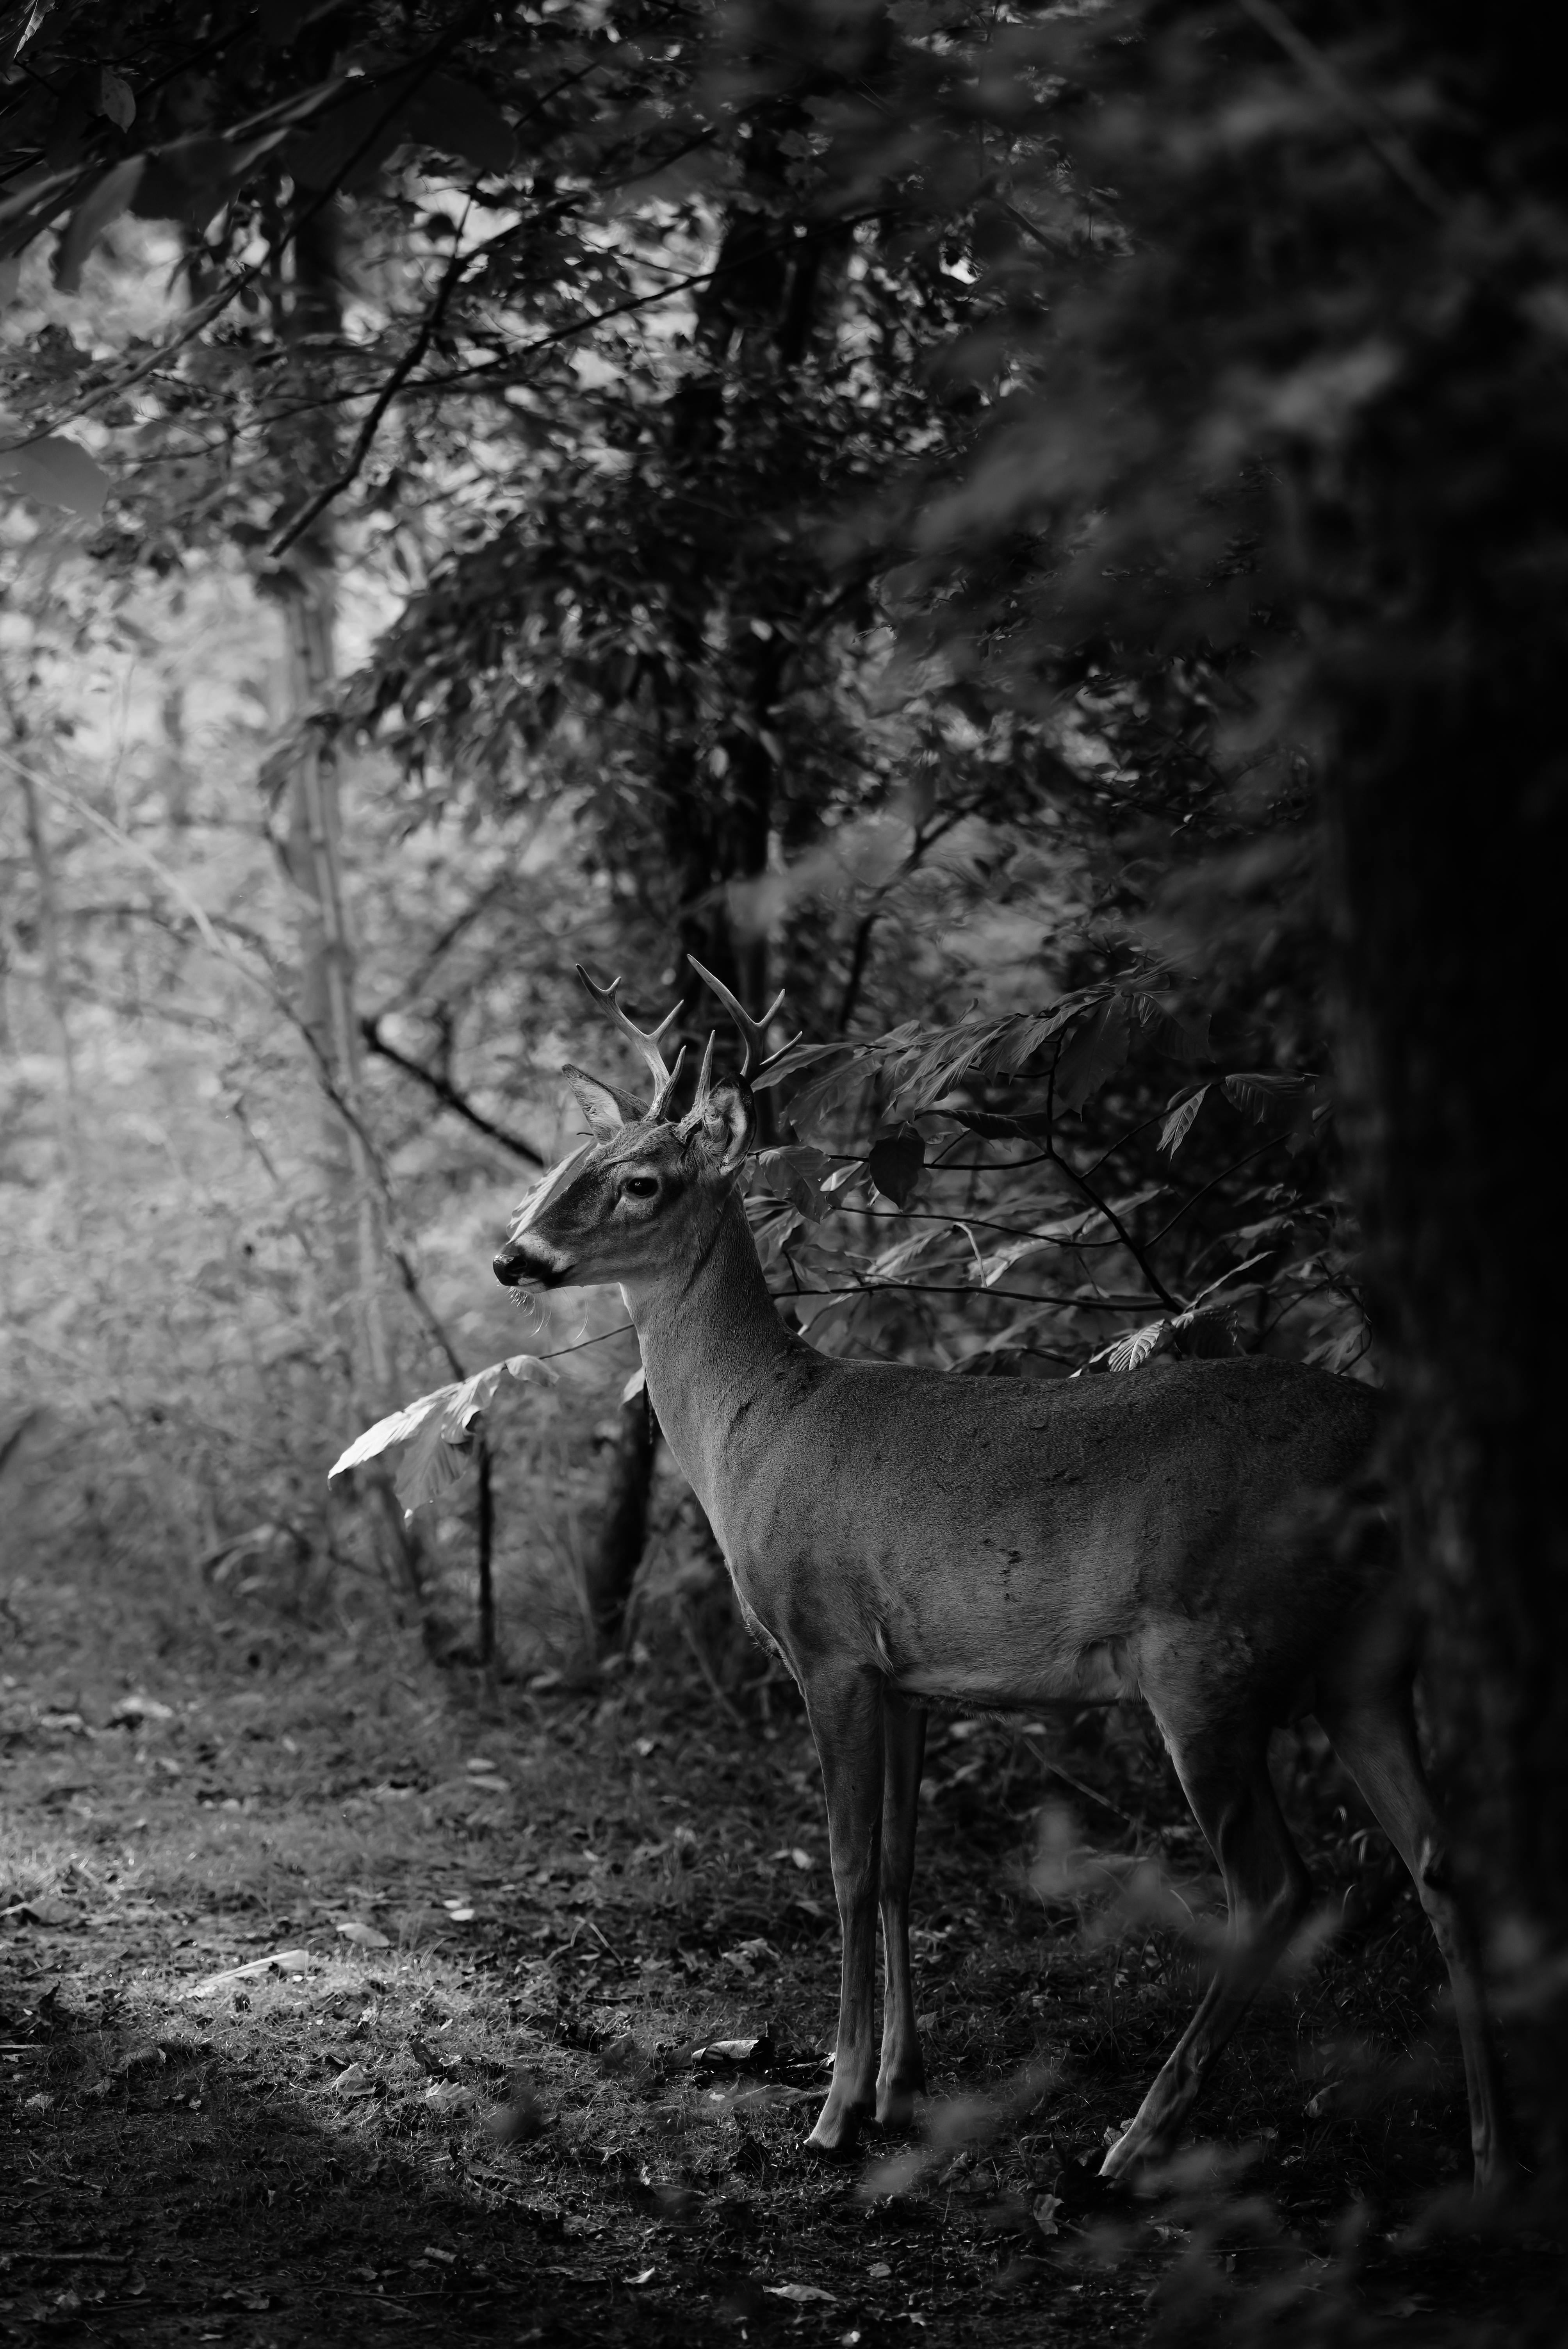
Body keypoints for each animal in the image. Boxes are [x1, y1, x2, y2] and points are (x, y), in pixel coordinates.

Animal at [491, 961, 1509, 2190]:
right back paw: (1488, 2153)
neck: (758, 1427)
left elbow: (844, 1867)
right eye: (560, 1169)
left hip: (1209, 1655)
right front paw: (897, 2087)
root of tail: (1391, 1450)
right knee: (1440, 1863)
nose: (513, 1255)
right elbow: (898, 1867)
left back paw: (1138, 2136)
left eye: (640, 1181)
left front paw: (833, 2107)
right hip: (1363, 1661)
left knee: (1280, 1887)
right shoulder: (910, 1674)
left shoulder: (826, 1646)